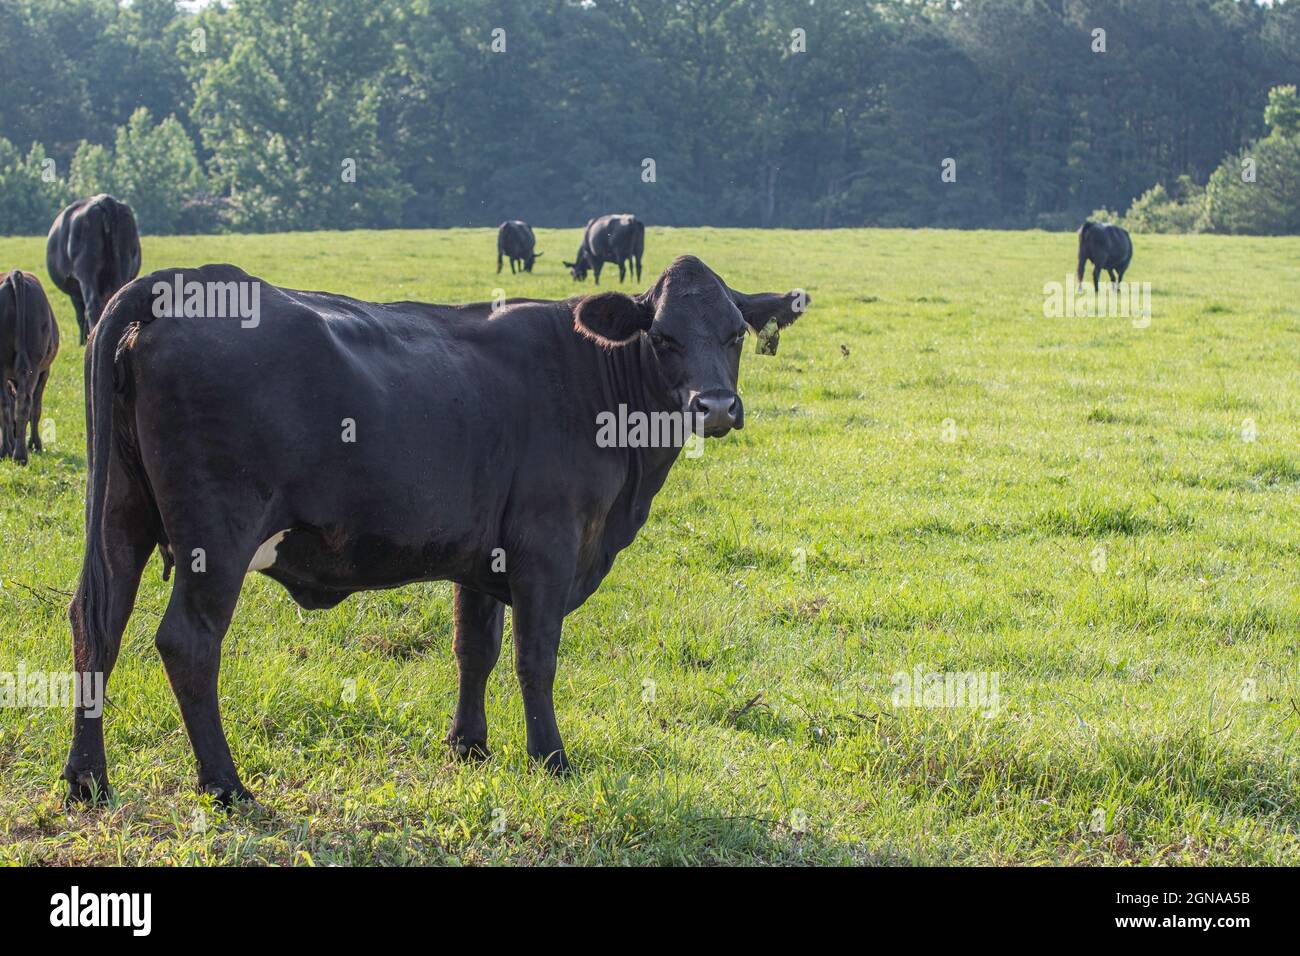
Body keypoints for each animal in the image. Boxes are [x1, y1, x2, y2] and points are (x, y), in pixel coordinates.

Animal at [0, 270, 59, 465]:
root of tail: (15, 275)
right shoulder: (44, 372)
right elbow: (36, 408)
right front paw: (35, 444)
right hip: (32, 366)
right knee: (25, 403)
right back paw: (20, 455)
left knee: (6, 404)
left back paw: (7, 450)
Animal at [46, 194, 142, 345]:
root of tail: (105, 199)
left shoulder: (75, 291)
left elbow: (80, 315)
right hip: (125, 262)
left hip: (86, 273)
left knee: (91, 306)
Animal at [63, 255, 808, 806]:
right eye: (663, 336)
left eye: (734, 334)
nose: (717, 406)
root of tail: (179, 281)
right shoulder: (547, 546)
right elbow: (534, 658)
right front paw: (551, 759)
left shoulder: (482, 554)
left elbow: (473, 649)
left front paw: (468, 746)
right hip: (215, 541)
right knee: (187, 643)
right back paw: (225, 785)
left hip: (121, 515)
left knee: (97, 624)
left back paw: (87, 780)